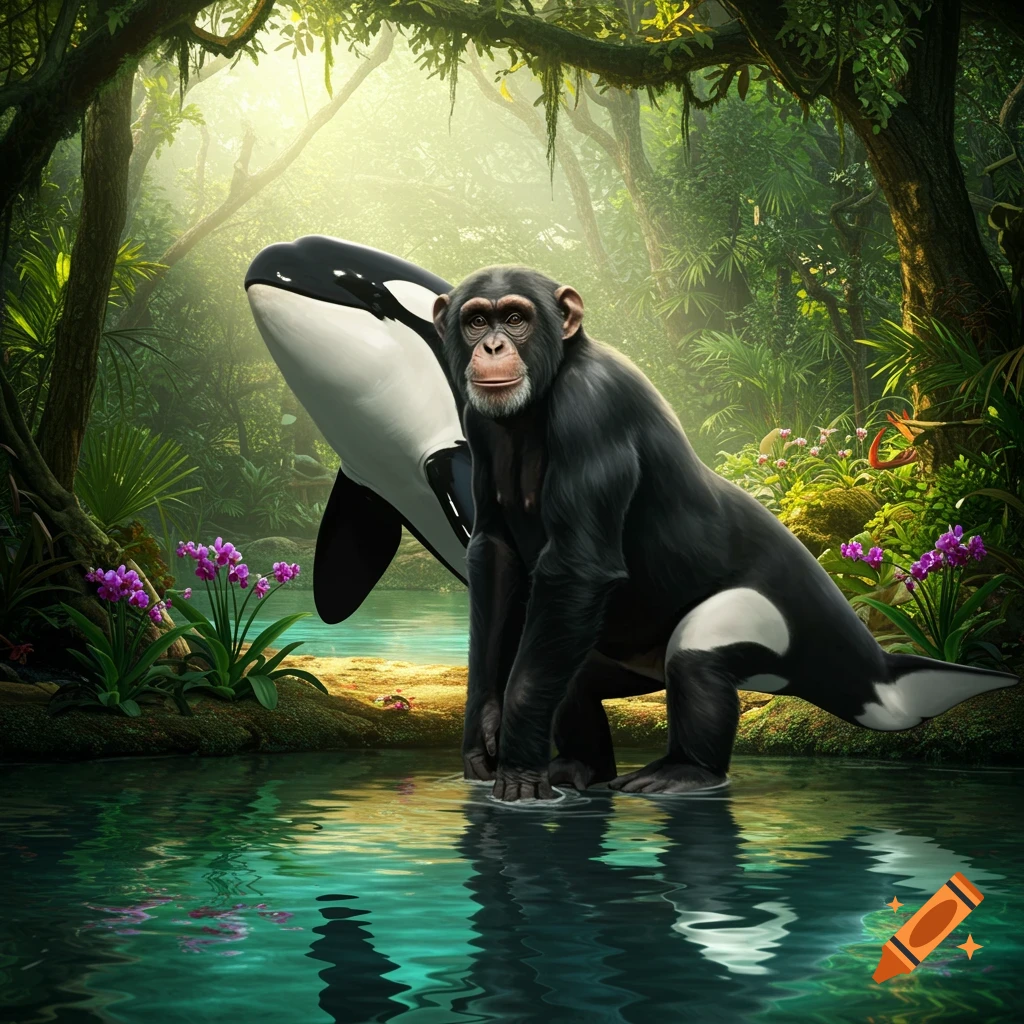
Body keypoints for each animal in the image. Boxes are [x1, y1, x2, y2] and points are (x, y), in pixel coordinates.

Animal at [432, 266, 1019, 802]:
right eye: (475, 320)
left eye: (516, 318)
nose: (492, 344)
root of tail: (881, 683)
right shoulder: (475, 422)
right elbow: (496, 557)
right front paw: (482, 732)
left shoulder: (593, 408)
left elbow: (578, 564)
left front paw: (517, 764)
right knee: (570, 665)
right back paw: (579, 767)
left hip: (765, 623)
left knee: (695, 660)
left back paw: (684, 772)